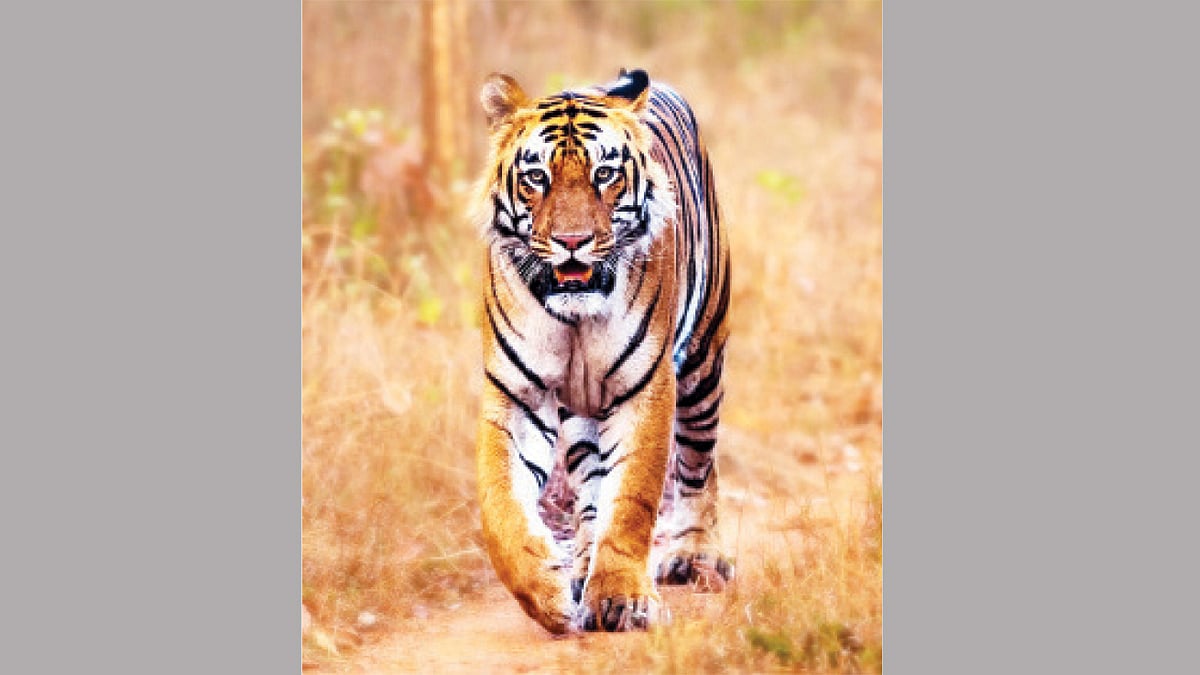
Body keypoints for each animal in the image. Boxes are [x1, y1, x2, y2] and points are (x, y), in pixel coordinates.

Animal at [474, 68, 732, 634]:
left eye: (605, 173)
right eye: (536, 177)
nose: (573, 241)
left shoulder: (645, 387)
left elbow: (634, 496)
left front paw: (621, 599)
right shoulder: (517, 394)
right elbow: (499, 506)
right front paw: (545, 594)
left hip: (703, 364)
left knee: (698, 466)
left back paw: (695, 555)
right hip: (580, 415)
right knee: (591, 491)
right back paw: (582, 564)